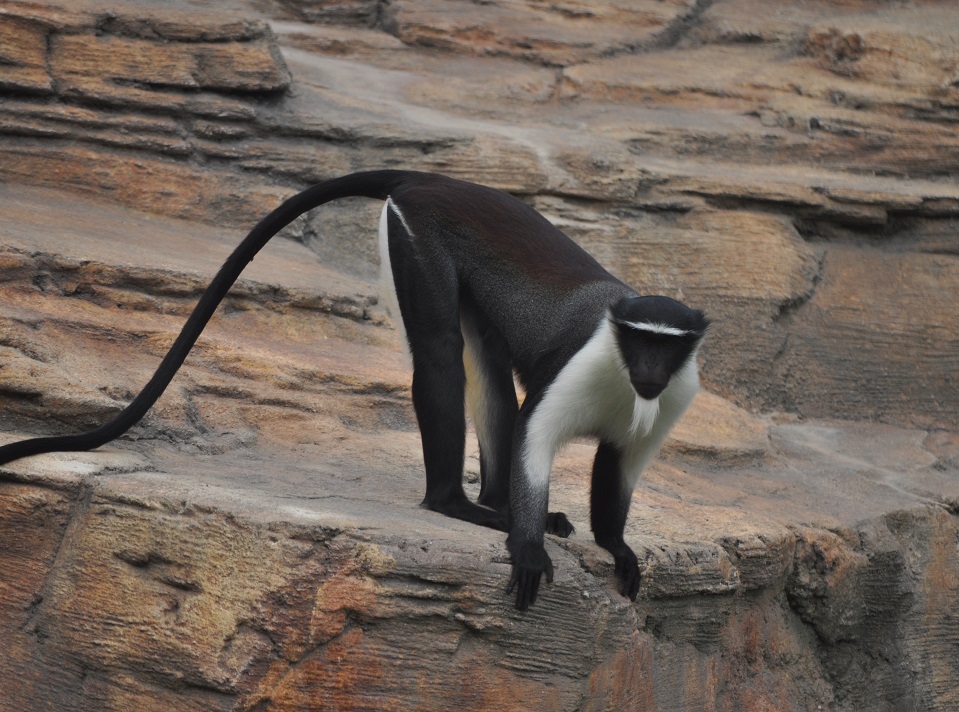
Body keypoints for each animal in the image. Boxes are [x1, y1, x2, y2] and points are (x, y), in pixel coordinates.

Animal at [0, 170, 708, 609]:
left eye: (667, 347)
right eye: (639, 341)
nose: (649, 369)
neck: (628, 375)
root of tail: (430, 179)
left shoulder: (675, 395)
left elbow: (619, 464)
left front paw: (613, 544)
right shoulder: (580, 364)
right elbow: (536, 433)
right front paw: (529, 544)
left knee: (487, 371)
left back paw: (494, 502)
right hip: (418, 237)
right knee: (443, 355)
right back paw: (463, 505)